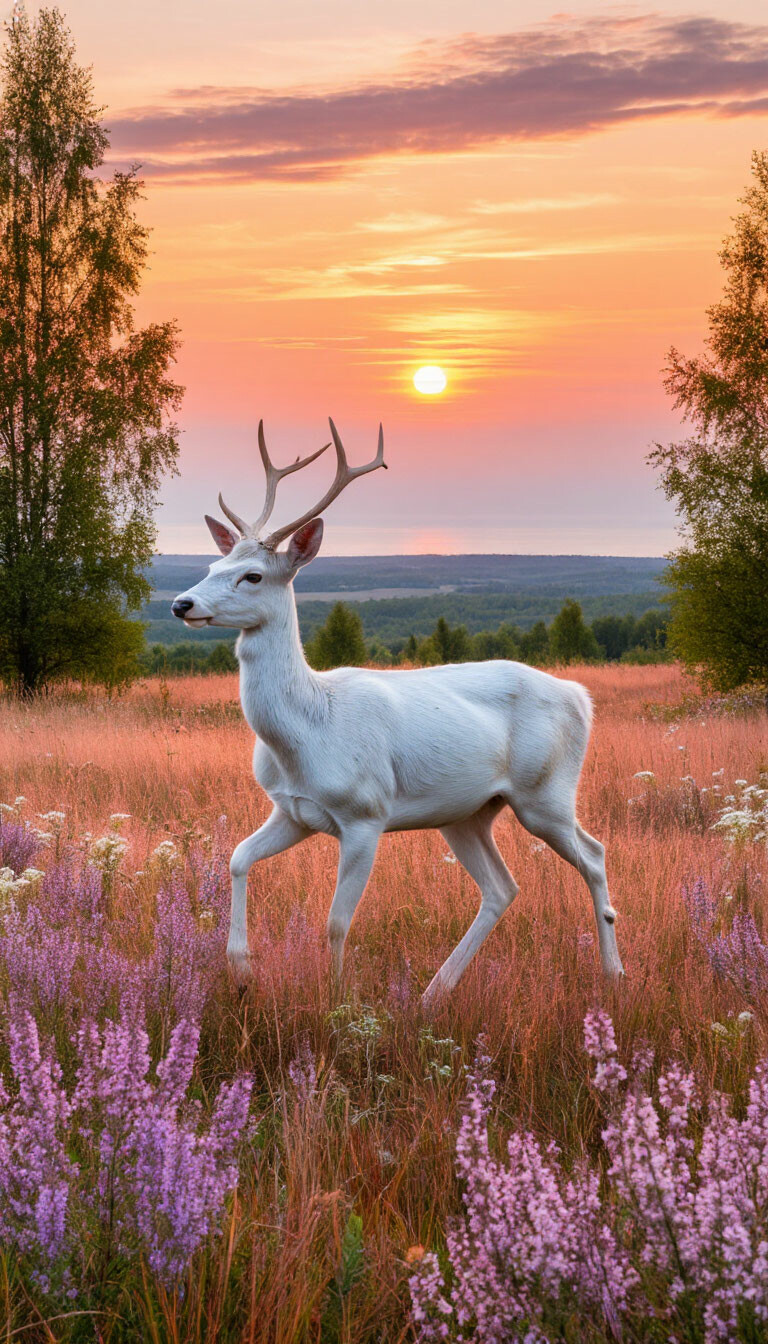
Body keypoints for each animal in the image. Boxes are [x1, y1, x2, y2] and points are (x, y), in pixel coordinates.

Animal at [171, 420, 624, 1006]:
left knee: (593, 854)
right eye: (211, 565)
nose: (181, 604)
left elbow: (336, 922)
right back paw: (433, 993)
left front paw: (338, 1001)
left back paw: (613, 973)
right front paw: (241, 969)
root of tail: (580, 696)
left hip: (544, 792)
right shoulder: (292, 810)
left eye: (252, 575)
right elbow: (237, 858)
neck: (307, 729)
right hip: (469, 811)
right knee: (502, 887)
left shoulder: (366, 813)